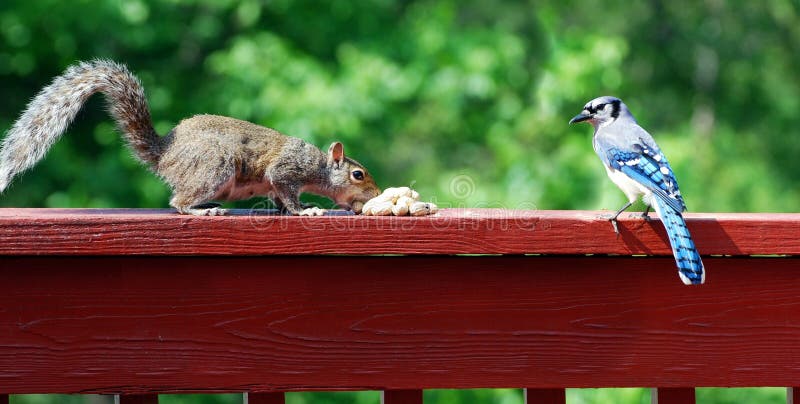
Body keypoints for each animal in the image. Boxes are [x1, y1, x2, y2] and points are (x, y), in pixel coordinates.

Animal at [0, 59, 382, 215]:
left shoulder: (276, 182)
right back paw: (200, 211)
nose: (376, 194)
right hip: (214, 166)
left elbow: (276, 197)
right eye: (358, 174)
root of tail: (165, 153)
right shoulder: (287, 170)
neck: (318, 166)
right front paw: (305, 210)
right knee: (177, 202)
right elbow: (286, 190)